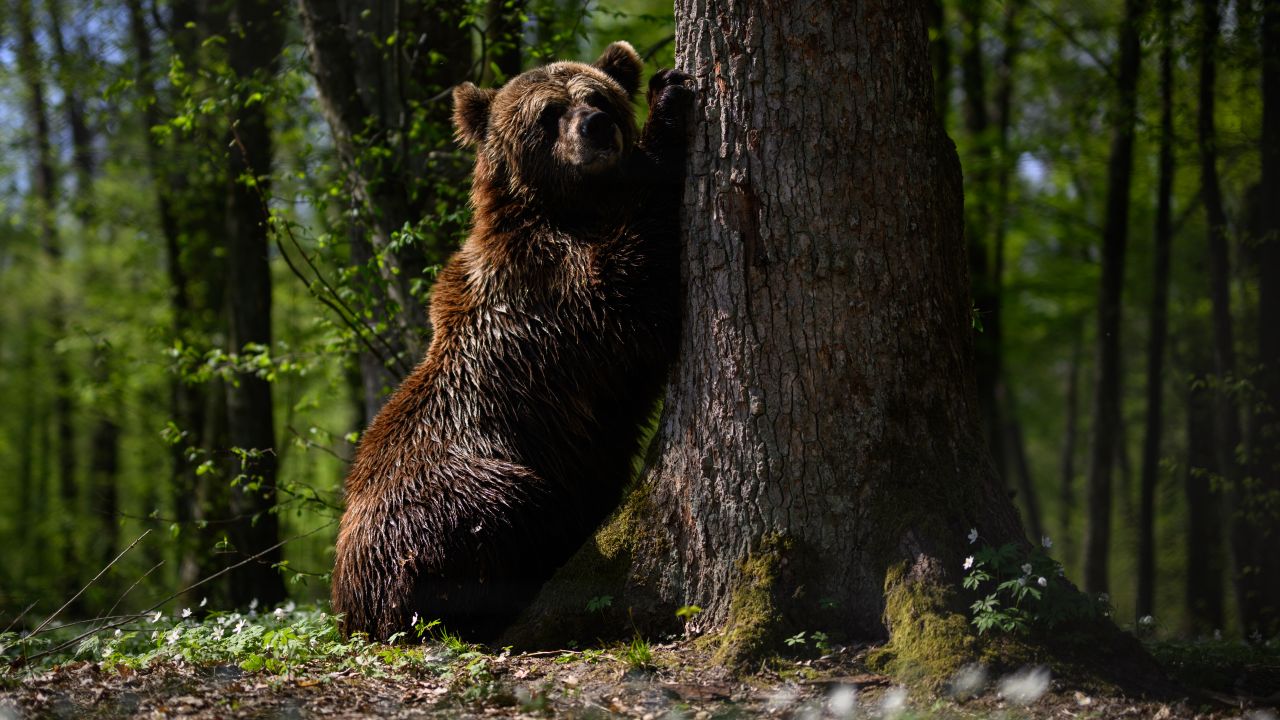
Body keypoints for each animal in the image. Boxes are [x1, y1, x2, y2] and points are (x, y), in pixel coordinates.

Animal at [330, 41, 694, 641]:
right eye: (549, 113)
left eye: (598, 97)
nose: (596, 127)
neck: (568, 210)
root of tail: (352, 603)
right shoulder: (547, 292)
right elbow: (631, 288)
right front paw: (667, 104)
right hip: (451, 495)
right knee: (512, 512)